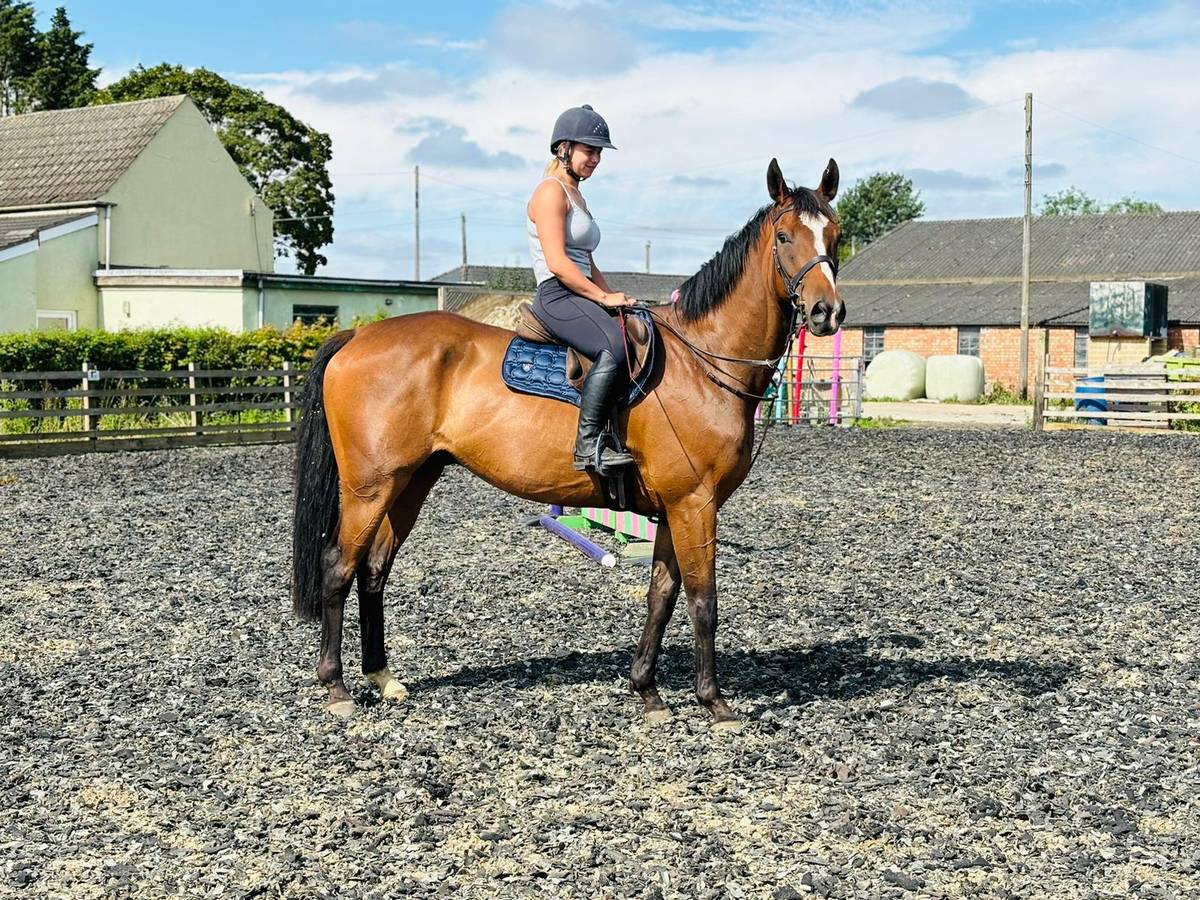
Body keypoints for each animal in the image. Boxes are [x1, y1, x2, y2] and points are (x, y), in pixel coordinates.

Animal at [291, 158, 845, 727]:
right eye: (784, 236)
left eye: (836, 236)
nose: (827, 313)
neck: (702, 360)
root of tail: (358, 336)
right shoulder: (695, 503)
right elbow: (702, 600)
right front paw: (714, 702)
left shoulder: (673, 508)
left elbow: (661, 595)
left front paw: (647, 691)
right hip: (369, 487)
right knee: (339, 566)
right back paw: (336, 688)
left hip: (410, 482)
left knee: (374, 569)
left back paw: (382, 677)